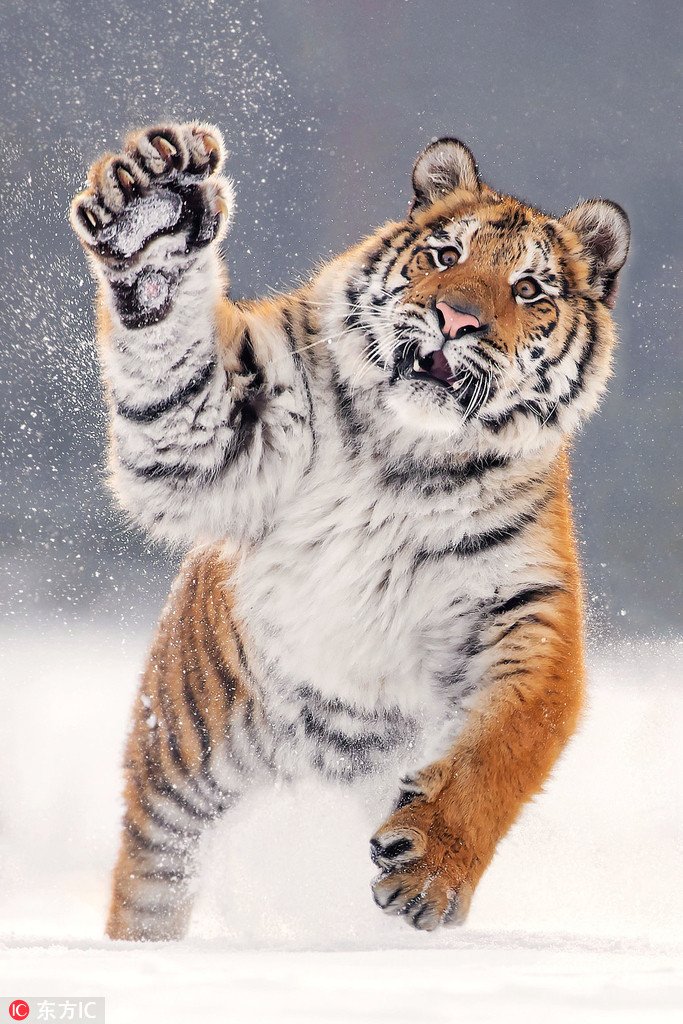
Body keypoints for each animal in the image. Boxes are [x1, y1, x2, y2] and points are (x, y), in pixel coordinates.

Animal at [70, 122, 629, 940]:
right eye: (445, 256)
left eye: (528, 290)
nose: (456, 319)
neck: (409, 457)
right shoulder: (220, 434)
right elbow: (175, 369)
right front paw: (149, 213)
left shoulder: (523, 610)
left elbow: (502, 748)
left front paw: (429, 871)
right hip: (182, 759)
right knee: (153, 880)